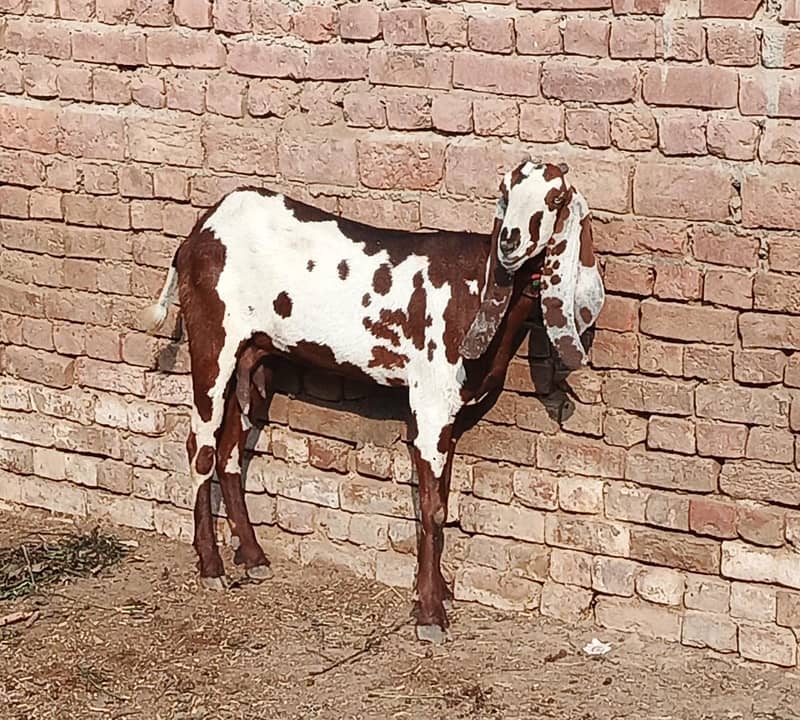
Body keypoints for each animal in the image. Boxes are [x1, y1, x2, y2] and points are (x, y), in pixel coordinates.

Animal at [140, 158, 605, 643]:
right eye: (506, 191)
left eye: (555, 198)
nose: (509, 241)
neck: (474, 287)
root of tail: (201, 229)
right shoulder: (430, 400)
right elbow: (432, 507)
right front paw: (430, 612)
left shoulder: (450, 415)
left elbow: (441, 497)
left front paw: (438, 592)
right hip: (212, 340)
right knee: (201, 447)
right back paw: (211, 566)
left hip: (252, 358)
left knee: (230, 448)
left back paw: (252, 555)